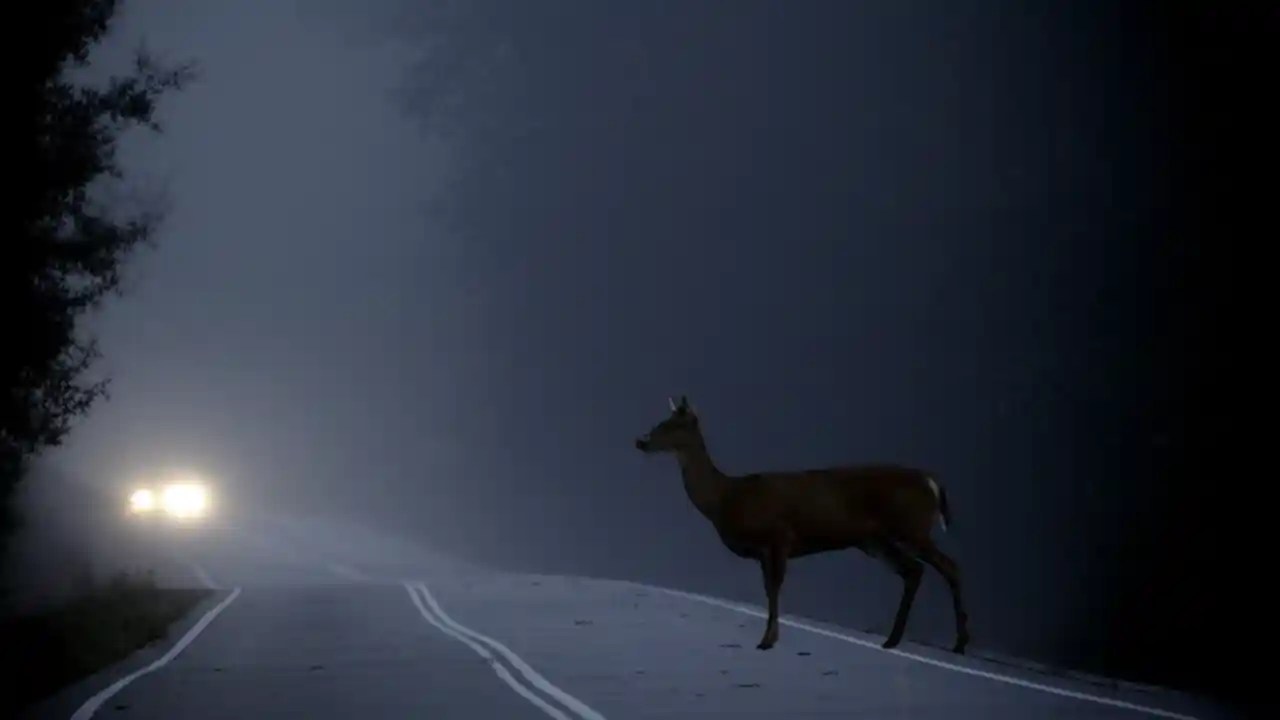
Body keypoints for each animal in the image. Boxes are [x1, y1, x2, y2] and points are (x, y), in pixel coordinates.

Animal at [634, 395, 970, 654]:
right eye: (661, 421)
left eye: (674, 424)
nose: (641, 441)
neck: (726, 497)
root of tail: (932, 482)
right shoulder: (765, 550)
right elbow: (768, 588)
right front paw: (769, 637)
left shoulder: (779, 535)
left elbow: (774, 588)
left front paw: (768, 640)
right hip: (876, 539)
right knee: (914, 570)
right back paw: (893, 640)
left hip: (910, 526)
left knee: (948, 565)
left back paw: (959, 643)